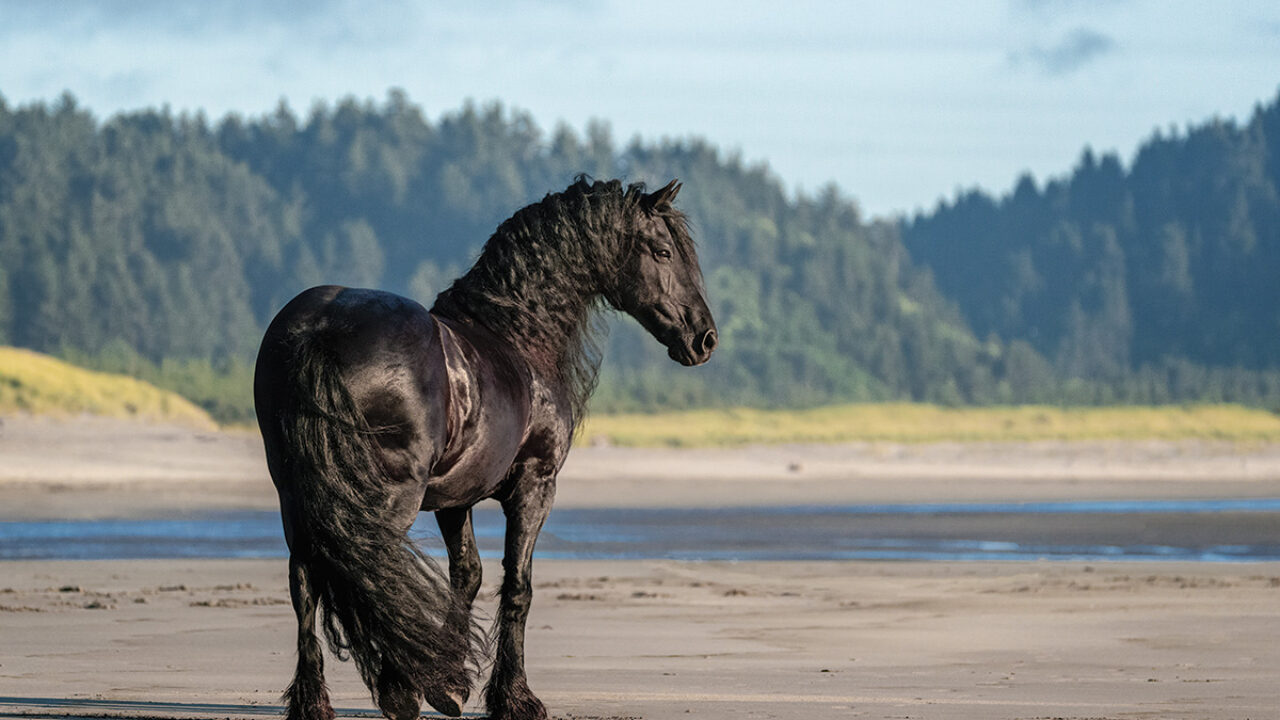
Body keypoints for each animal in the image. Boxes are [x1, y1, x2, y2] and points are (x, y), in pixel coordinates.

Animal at [254, 177, 716, 720]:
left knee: (306, 578)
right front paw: (513, 696)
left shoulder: (455, 498)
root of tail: (322, 327)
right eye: (663, 250)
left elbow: (467, 575)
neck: (519, 335)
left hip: (297, 494)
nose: (704, 338)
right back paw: (397, 691)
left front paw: (449, 685)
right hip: (386, 496)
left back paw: (315, 701)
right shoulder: (535, 485)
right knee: (371, 567)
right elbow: (518, 586)